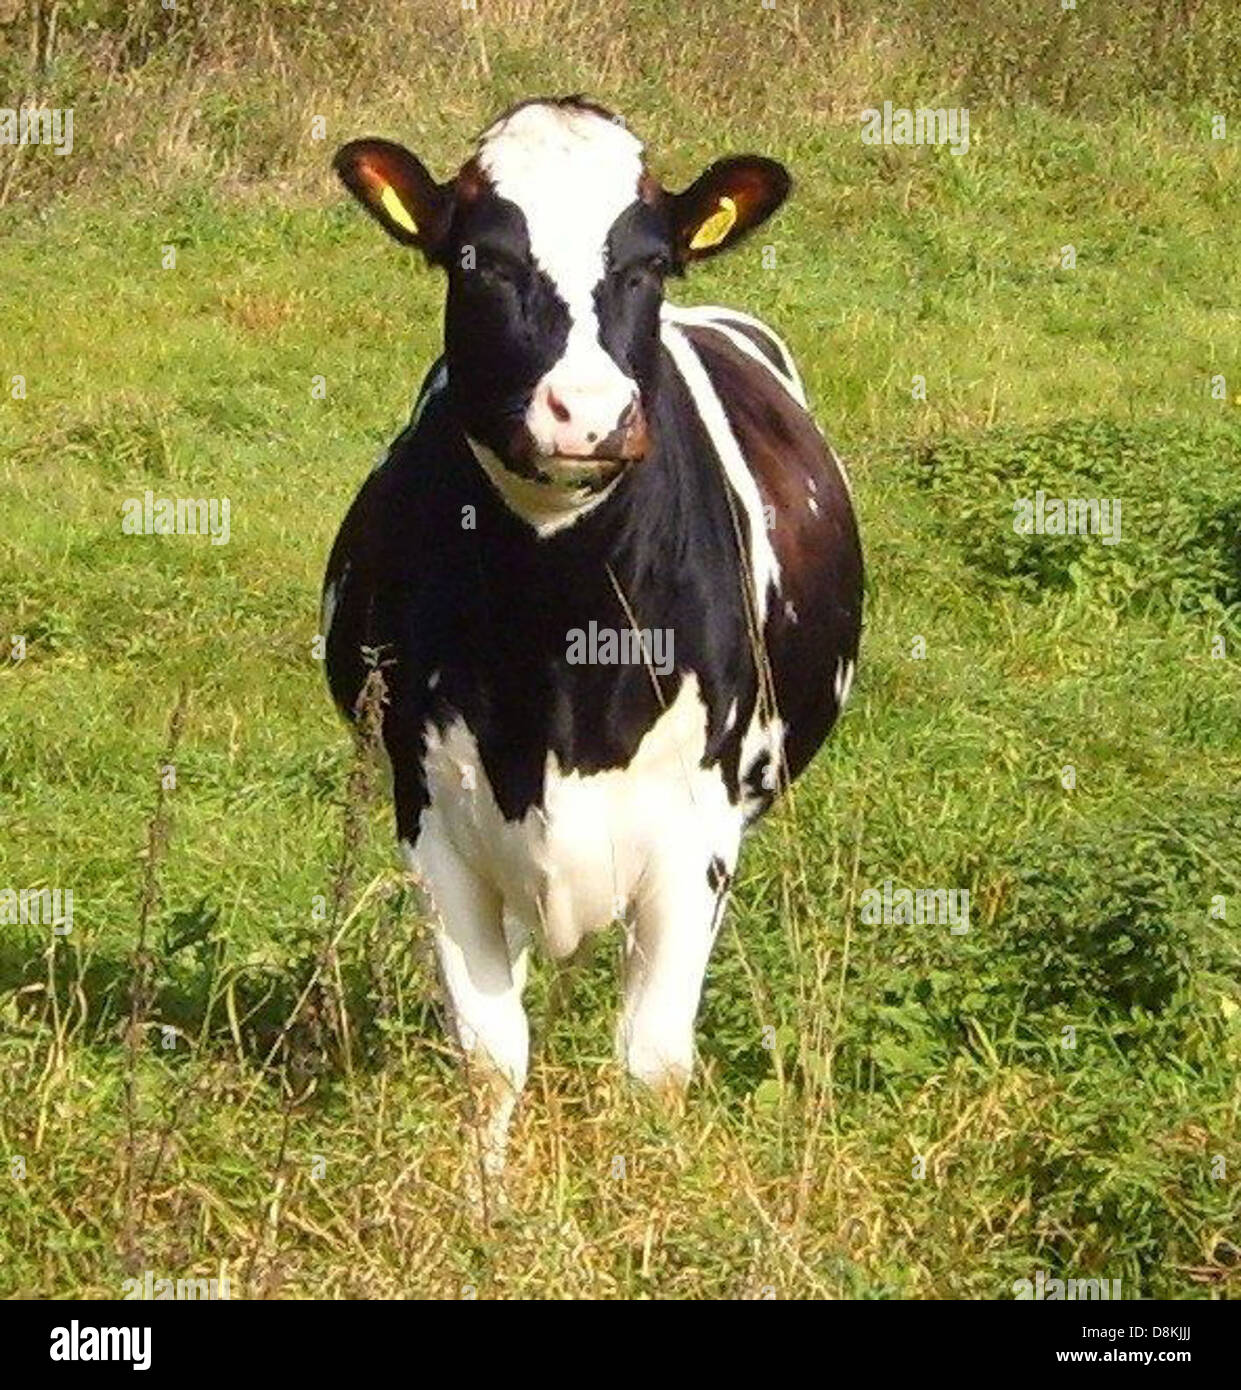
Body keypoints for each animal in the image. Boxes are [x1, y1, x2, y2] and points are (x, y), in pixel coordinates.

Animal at [322, 96, 863, 1173]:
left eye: (647, 263)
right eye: (483, 261)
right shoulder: (432, 820)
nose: (589, 414)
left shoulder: (696, 837)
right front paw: (487, 1199)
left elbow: (650, 1063)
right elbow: (490, 1054)